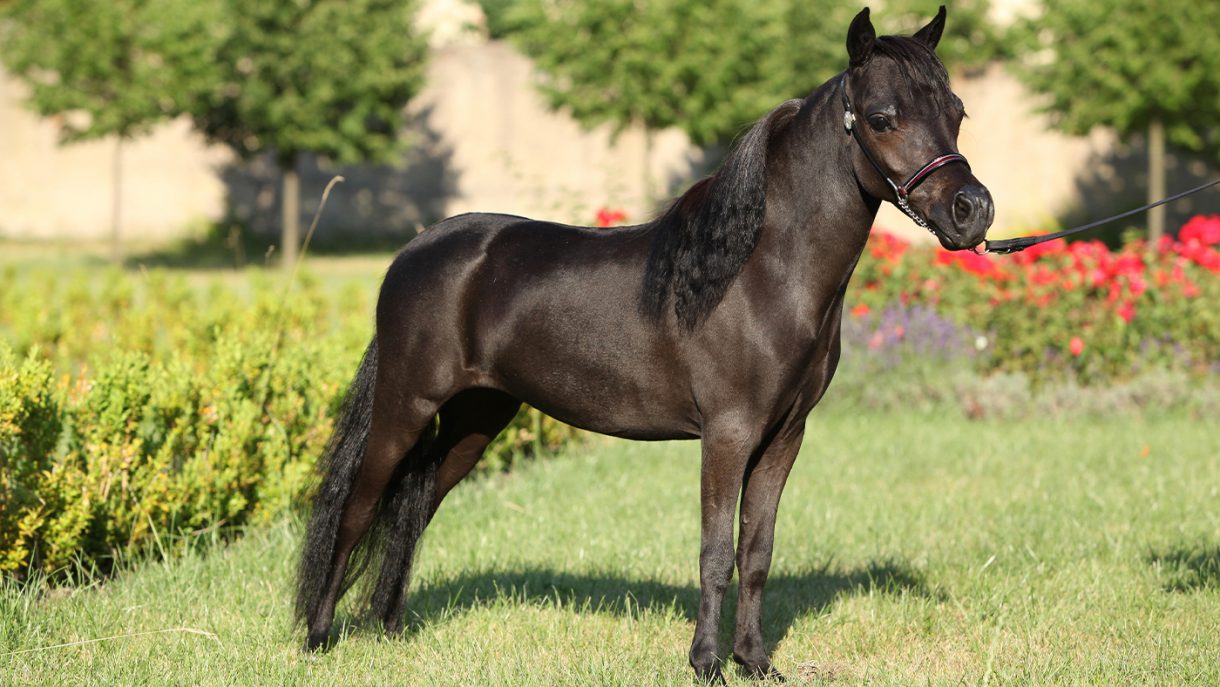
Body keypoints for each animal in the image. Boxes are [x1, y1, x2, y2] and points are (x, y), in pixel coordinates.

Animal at [296, 5, 993, 682]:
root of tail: (413, 253)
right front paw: (707, 663)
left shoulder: (783, 437)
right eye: (881, 118)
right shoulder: (728, 433)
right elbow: (716, 553)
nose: (973, 211)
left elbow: (756, 552)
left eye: (957, 112)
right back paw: (318, 638)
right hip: (406, 407)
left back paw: (389, 629)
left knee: (413, 509)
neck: (759, 273)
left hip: (477, 418)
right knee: (357, 507)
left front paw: (755, 661)